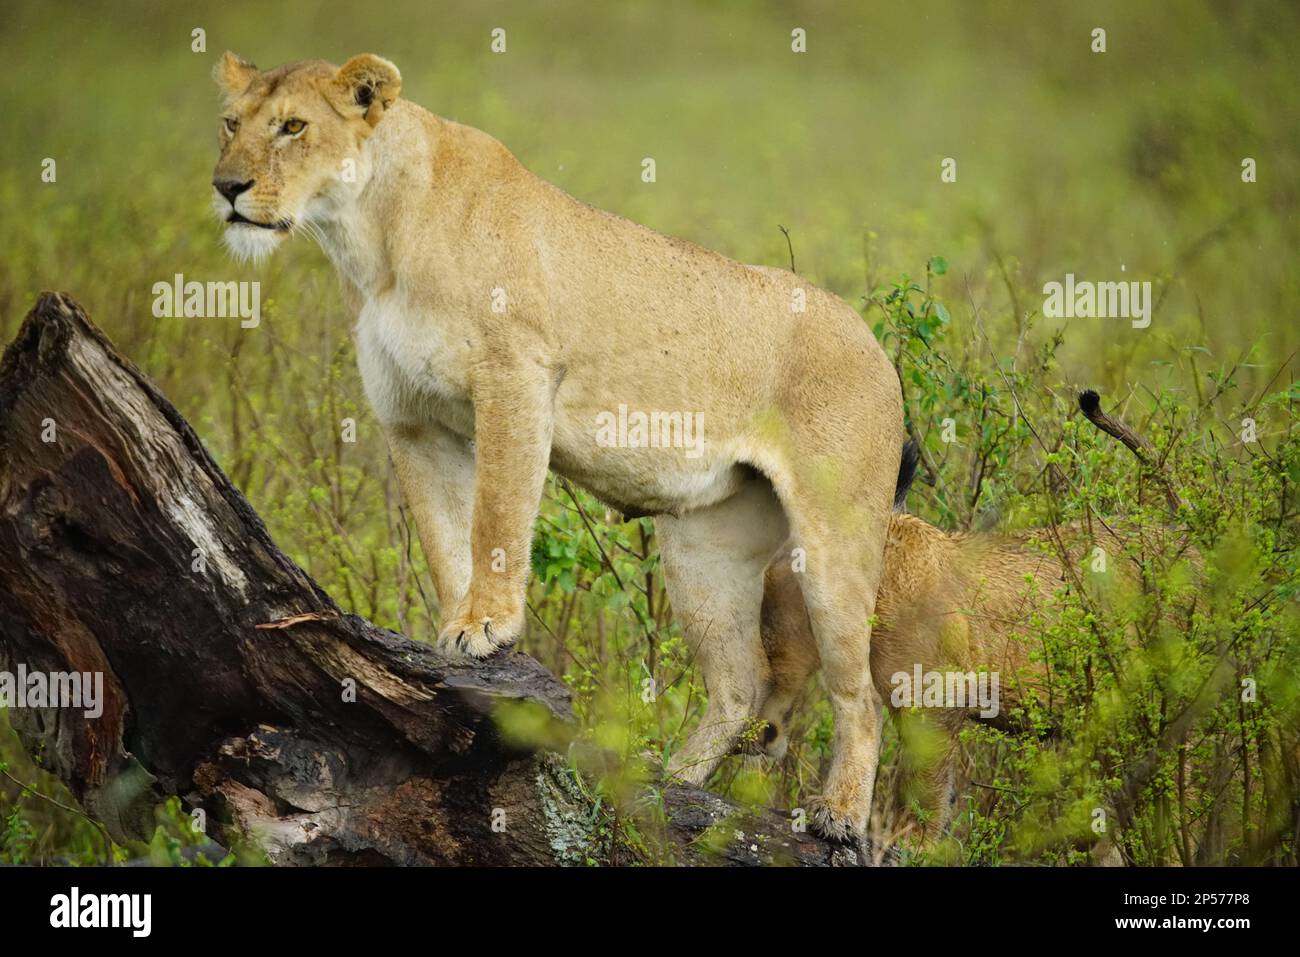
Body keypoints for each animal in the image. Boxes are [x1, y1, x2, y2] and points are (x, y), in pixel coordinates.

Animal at [211, 51, 906, 844]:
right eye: (230, 125)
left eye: (293, 126)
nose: (226, 187)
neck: (370, 235)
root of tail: (876, 345)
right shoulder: (411, 420)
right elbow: (445, 540)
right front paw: (454, 638)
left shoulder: (516, 378)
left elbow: (496, 520)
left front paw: (486, 627)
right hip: (705, 550)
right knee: (741, 681)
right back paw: (669, 786)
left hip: (835, 536)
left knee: (859, 690)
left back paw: (838, 811)